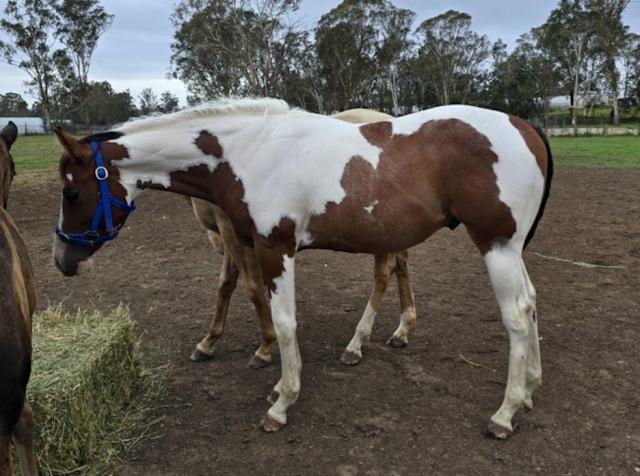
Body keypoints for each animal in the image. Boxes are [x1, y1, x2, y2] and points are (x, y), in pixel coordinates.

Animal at [188, 108, 416, 368]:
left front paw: (264, 347)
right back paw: (402, 331)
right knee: (401, 265)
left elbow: (253, 287)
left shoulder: (233, 232)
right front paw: (207, 342)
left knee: (384, 273)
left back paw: (355, 346)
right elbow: (226, 284)